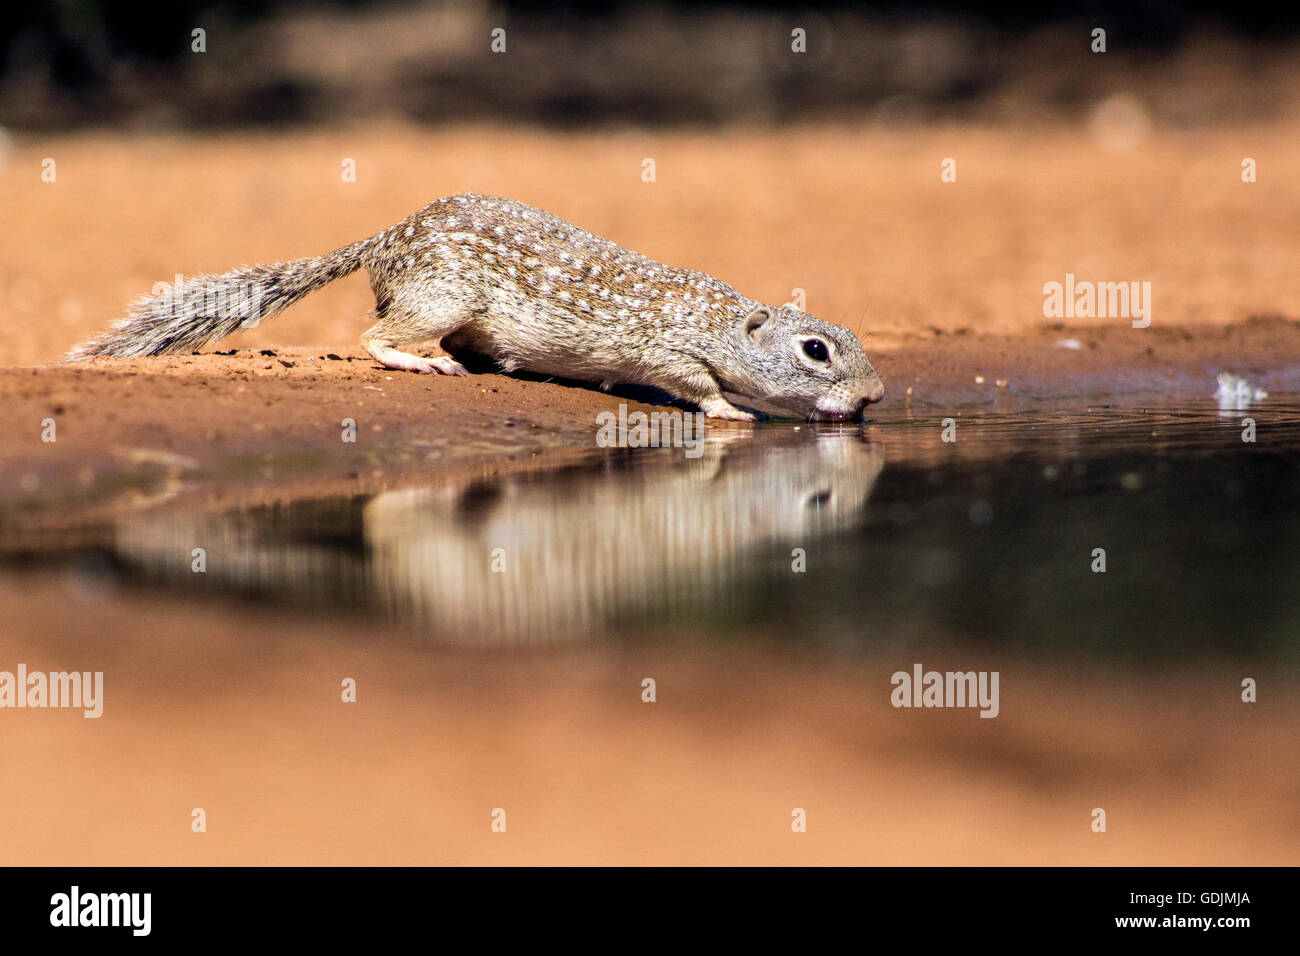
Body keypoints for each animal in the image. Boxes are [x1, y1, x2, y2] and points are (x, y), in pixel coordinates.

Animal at [65, 194, 885, 421]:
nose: (877, 395)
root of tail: (384, 237)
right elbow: (698, 386)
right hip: (438, 300)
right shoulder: (668, 351)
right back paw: (418, 362)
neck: (719, 322)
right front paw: (732, 410)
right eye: (816, 350)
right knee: (375, 335)